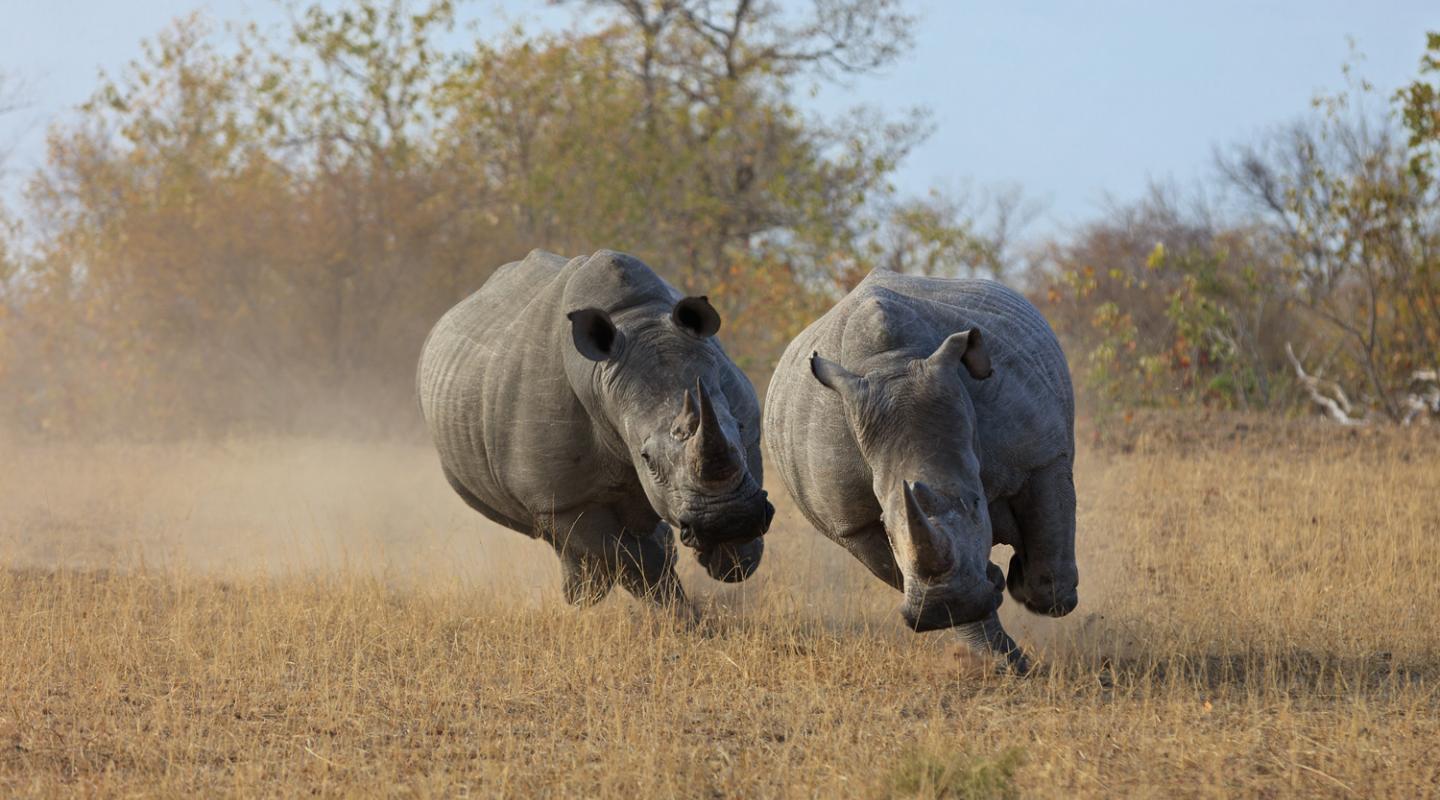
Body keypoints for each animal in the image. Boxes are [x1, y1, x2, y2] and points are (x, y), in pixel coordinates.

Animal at [418, 249, 773, 611]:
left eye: (741, 427)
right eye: (646, 458)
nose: (728, 519)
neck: (635, 319)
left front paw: (731, 559)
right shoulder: (563, 497)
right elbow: (628, 557)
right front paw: (680, 615)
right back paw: (585, 594)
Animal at [763, 269, 1078, 672]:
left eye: (977, 503)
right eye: (885, 524)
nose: (947, 604)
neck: (891, 362)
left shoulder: (1041, 455)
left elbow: (1050, 539)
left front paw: (1024, 585)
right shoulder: (852, 523)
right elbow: (894, 563)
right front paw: (983, 611)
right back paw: (1002, 661)